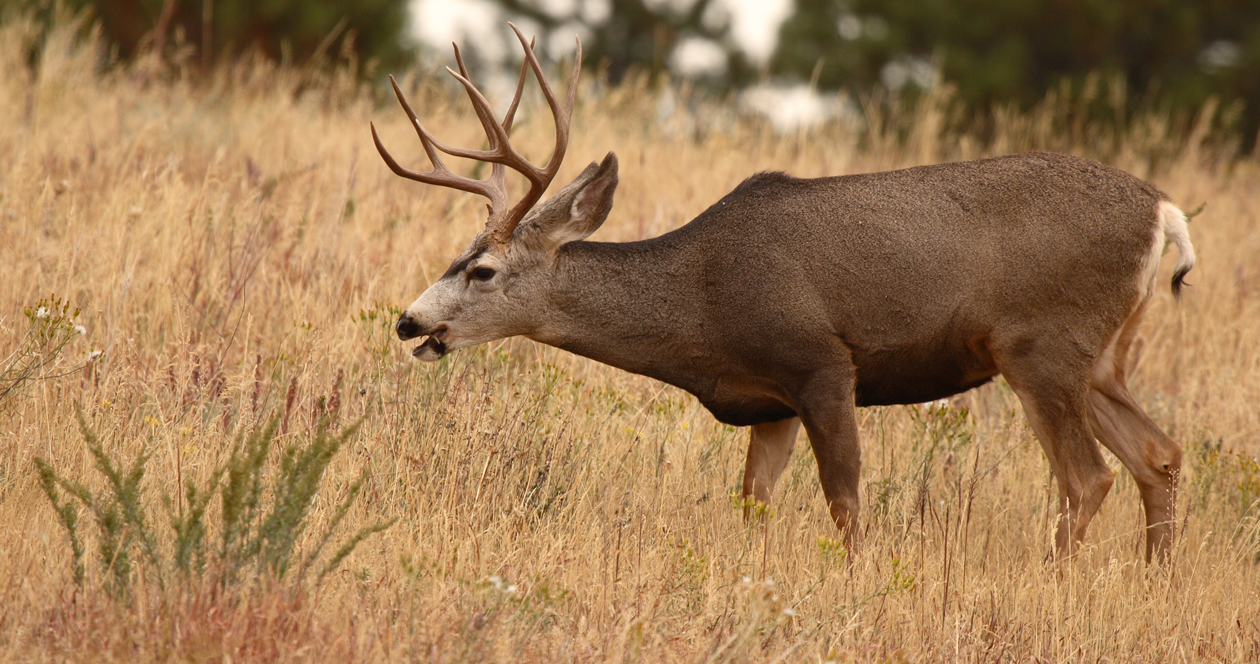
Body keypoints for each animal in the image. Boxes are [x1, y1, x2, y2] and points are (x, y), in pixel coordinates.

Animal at [372, 25, 1196, 563]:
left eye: (482, 270)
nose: (408, 322)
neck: (701, 301)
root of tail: (1164, 211)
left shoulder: (821, 363)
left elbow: (845, 498)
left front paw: (859, 581)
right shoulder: (769, 404)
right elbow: (752, 503)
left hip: (1040, 345)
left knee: (1087, 477)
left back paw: (1060, 578)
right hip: (1102, 356)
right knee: (1158, 454)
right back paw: (1154, 580)